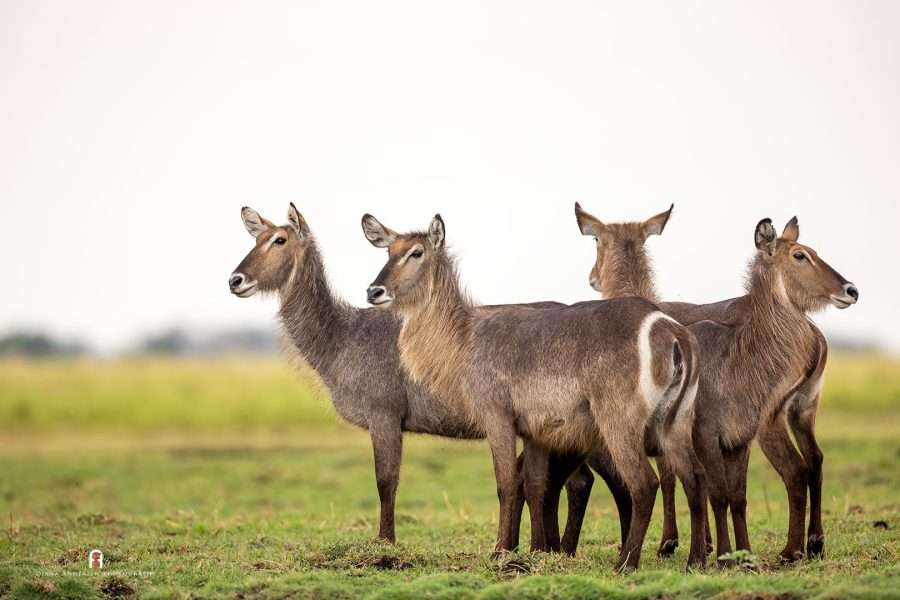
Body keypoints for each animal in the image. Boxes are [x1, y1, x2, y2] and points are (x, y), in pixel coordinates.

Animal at [228, 203, 583, 548]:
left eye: (280, 240)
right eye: (256, 239)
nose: (235, 280)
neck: (341, 338)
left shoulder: (384, 414)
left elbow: (386, 480)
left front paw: (385, 542)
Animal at [362, 213, 708, 570]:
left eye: (416, 252)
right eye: (388, 251)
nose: (374, 290)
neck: (465, 338)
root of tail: (670, 329)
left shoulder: (497, 416)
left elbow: (506, 483)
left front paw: (501, 552)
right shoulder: (537, 431)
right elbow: (536, 485)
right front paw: (538, 550)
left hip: (619, 422)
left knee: (644, 483)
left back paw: (626, 563)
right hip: (675, 420)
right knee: (694, 476)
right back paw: (695, 560)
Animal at [575, 204, 858, 563]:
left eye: (596, 240)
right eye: (802, 254)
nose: (851, 290)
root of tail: (817, 337)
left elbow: (677, 479)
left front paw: (675, 543)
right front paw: (709, 546)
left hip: (771, 421)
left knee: (796, 471)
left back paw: (791, 550)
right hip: (804, 411)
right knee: (816, 460)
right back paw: (815, 543)